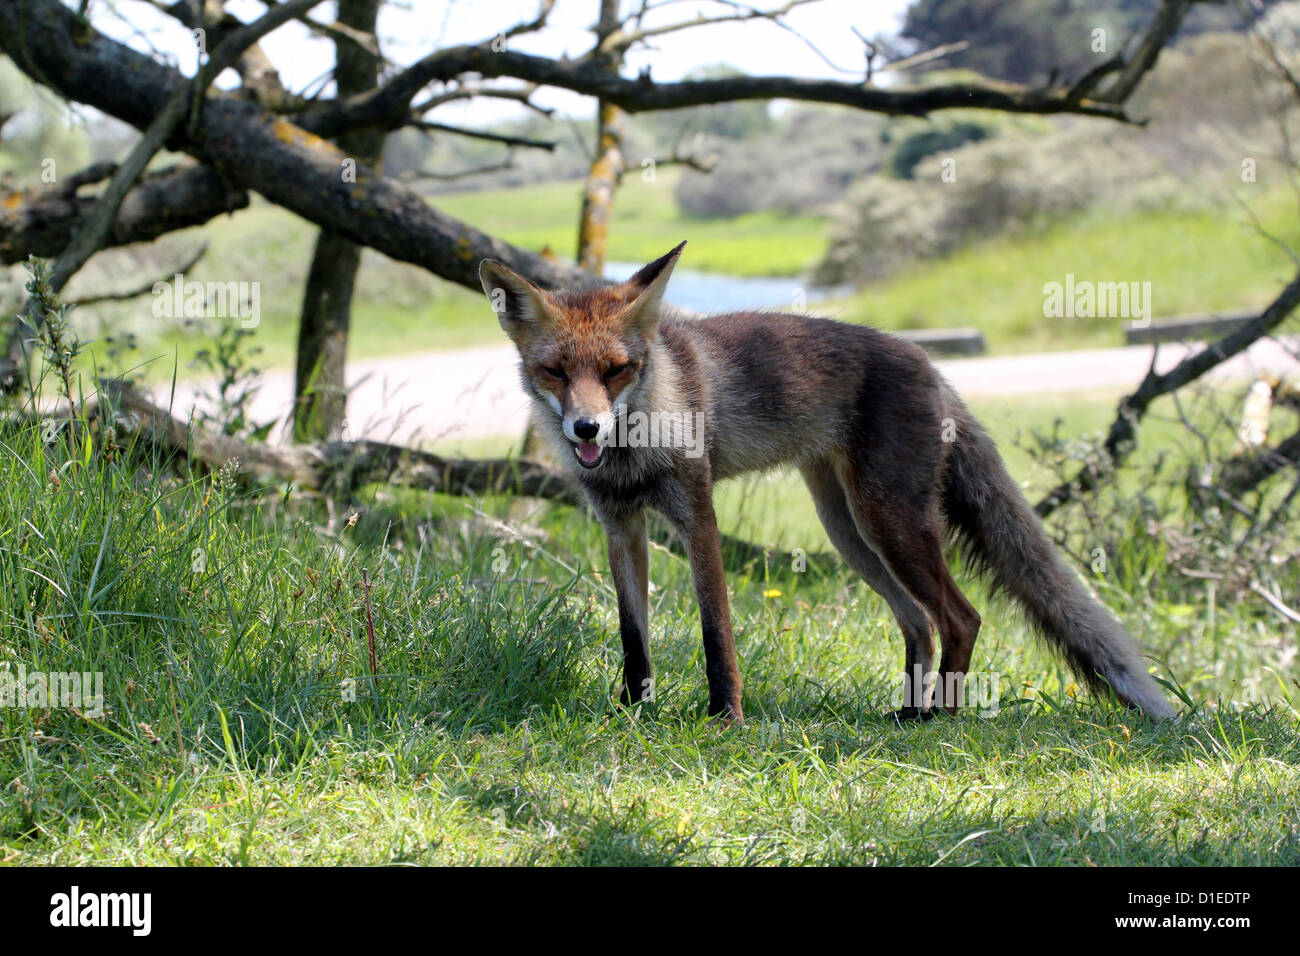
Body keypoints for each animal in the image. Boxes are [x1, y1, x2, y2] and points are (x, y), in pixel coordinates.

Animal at [479, 242, 1175, 725]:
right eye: (556, 371)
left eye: (617, 370)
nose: (587, 428)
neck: (634, 454)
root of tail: (932, 366)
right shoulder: (620, 523)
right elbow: (633, 634)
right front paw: (631, 710)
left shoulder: (697, 514)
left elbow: (715, 630)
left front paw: (725, 718)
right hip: (849, 530)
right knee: (919, 623)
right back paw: (910, 712)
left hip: (889, 522)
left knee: (961, 617)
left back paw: (944, 721)